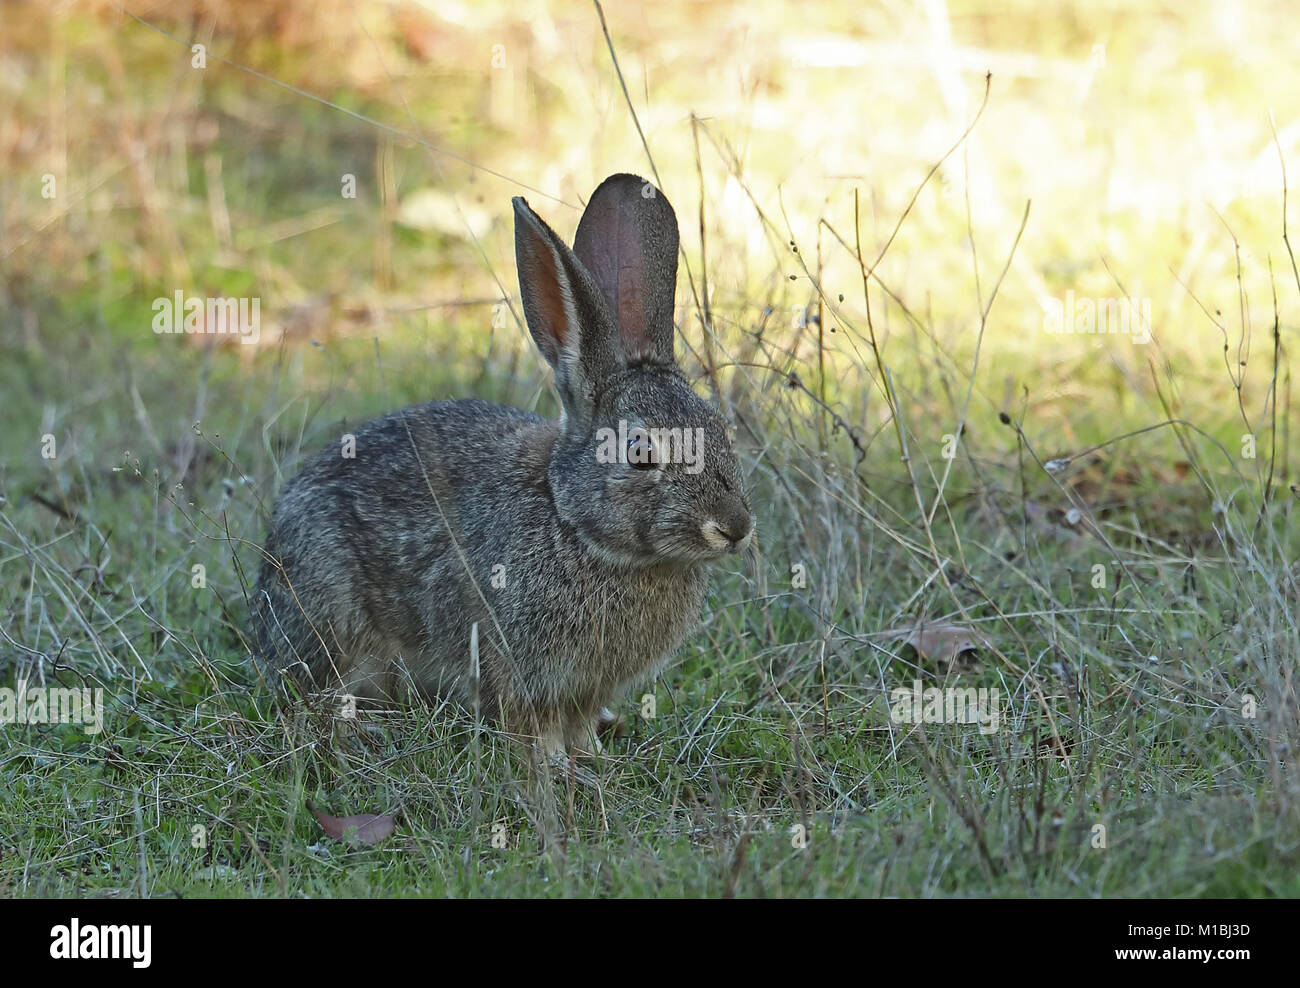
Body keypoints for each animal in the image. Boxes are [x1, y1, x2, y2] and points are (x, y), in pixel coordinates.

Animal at [250, 173, 754, 757]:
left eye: (718, 427)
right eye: (640, 453)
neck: (572, 523)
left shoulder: (587, 686)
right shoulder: (514, 663)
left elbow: (581, 722)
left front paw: (591, 755)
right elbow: (532, 726)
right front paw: (557, 765)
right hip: (333, 613)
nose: (735, 528)